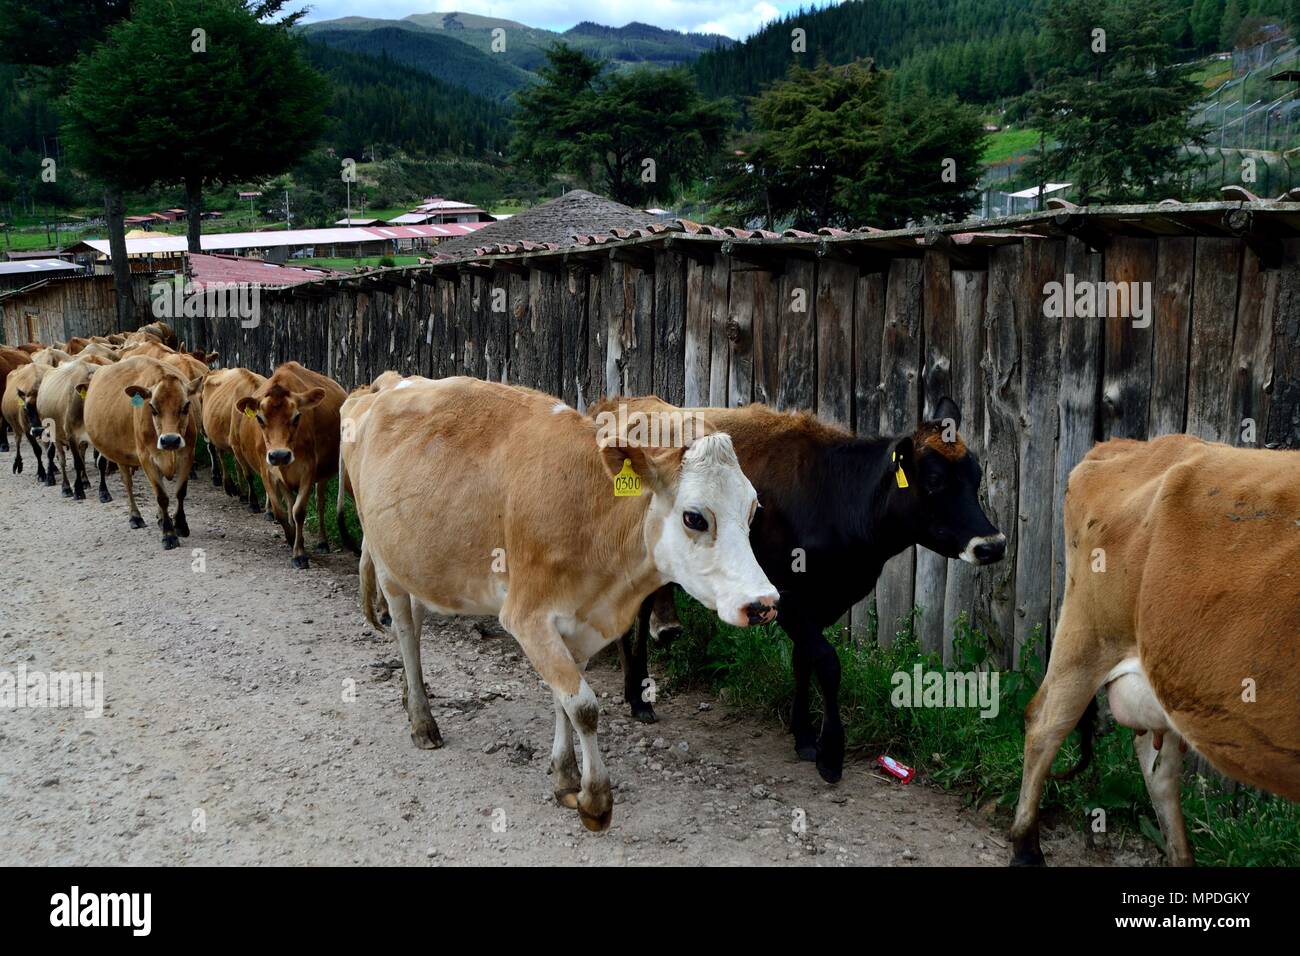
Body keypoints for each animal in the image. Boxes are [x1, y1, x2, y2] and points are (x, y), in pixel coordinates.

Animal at [36, 354, 112, 498]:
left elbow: (100, 463)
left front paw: (104, 492)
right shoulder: (71, 435)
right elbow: (77, 463)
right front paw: (78, 490)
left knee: (81, 456)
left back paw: (85, 480)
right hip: (54, 433)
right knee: (61, 459)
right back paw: (65, 487)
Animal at [83, 355, 203, 548]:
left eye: (186, 406)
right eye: (152, 407)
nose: (170, 440)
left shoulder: (188, 455)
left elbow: (180, 492)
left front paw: (180, 524)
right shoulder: (146, 457)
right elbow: (161, 496)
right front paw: (169, 534)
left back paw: (160, 517)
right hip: (121, 456)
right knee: (128, 483)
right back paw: (135, 517)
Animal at [234, 361, 346, 568]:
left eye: (296, 417)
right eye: (260, 419)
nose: (279, 455)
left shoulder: (309, 469)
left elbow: (299, 511)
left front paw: (299, 553)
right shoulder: (267, 471)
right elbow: (280, 511)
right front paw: (291, 538)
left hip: (322, 475)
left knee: (319, 504)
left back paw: (322, 542)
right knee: (289, 501)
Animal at [350, 376, 778, 831]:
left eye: (752, 510)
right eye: (694, 517)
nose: (763, 602)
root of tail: (388, 384)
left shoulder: (580, 622)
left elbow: (565, 700)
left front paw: (566, 776)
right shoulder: (527, 618)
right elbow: (584, 707)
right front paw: (595, 800)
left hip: (418, 564)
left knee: (415, 623)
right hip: (386, 563)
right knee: (405, 632)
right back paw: (422, 720)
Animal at [603, 395, 1006, 783]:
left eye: (977, 476)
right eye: (935, 480)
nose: (992, 545)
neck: (837, 498)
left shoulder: (824, 602)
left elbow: (803, 661)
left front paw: (804, 736)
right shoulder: (785, 595)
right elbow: (827, 662)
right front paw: (830, 752)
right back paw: (638, 698)